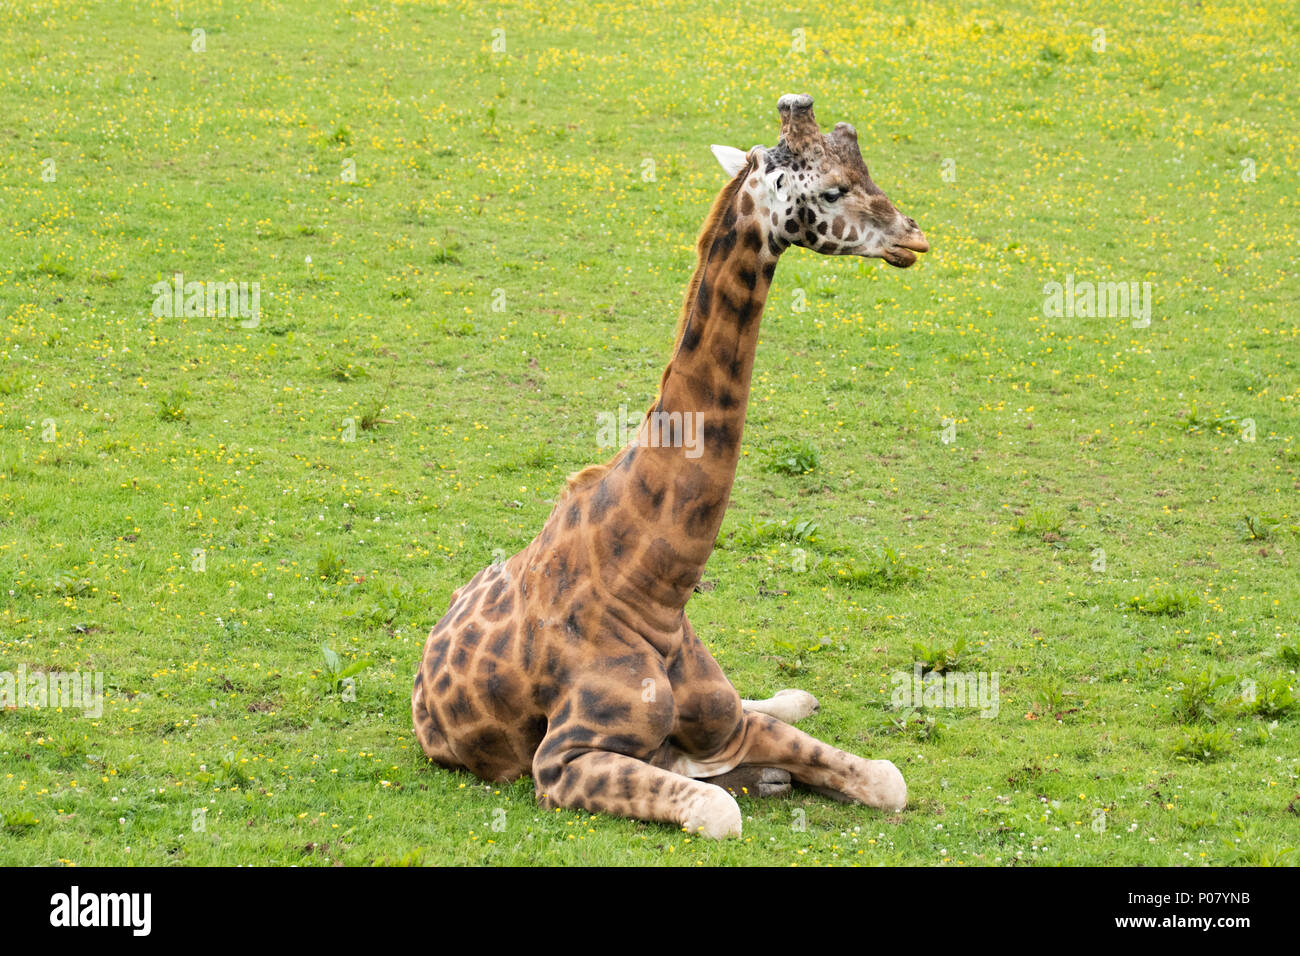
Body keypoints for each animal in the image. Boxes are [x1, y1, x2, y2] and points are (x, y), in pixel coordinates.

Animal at [412, 93, 929, 838]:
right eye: (832, 189)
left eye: (868, 170)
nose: (914, 238)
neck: (652, 593)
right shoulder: (560, 760)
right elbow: (719, 808)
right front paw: (731, 778)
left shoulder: (729, 727)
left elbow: (887, 780)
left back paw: (795, 697)